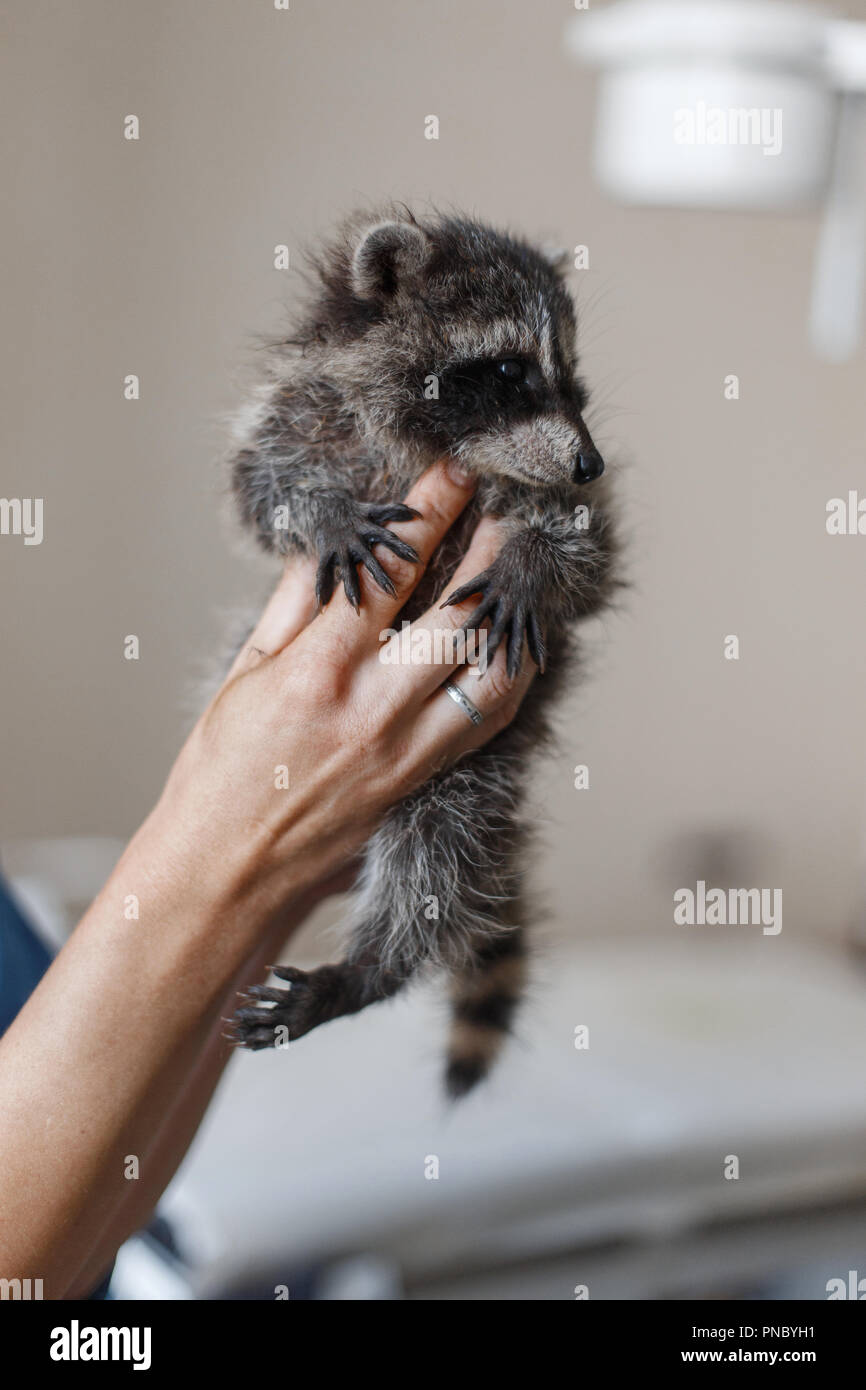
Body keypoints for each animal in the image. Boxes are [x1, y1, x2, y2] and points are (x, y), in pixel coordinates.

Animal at [230, 206, 617, 1096]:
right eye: (510, 368)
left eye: (573, 379)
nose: (590, 461)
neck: (446, 446)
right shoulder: (304, 406)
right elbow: (259, 484)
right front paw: (325, 511)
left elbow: (590, 554)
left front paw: (533, 558)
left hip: (473, 772)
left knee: (434, 851)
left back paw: (371, 970)